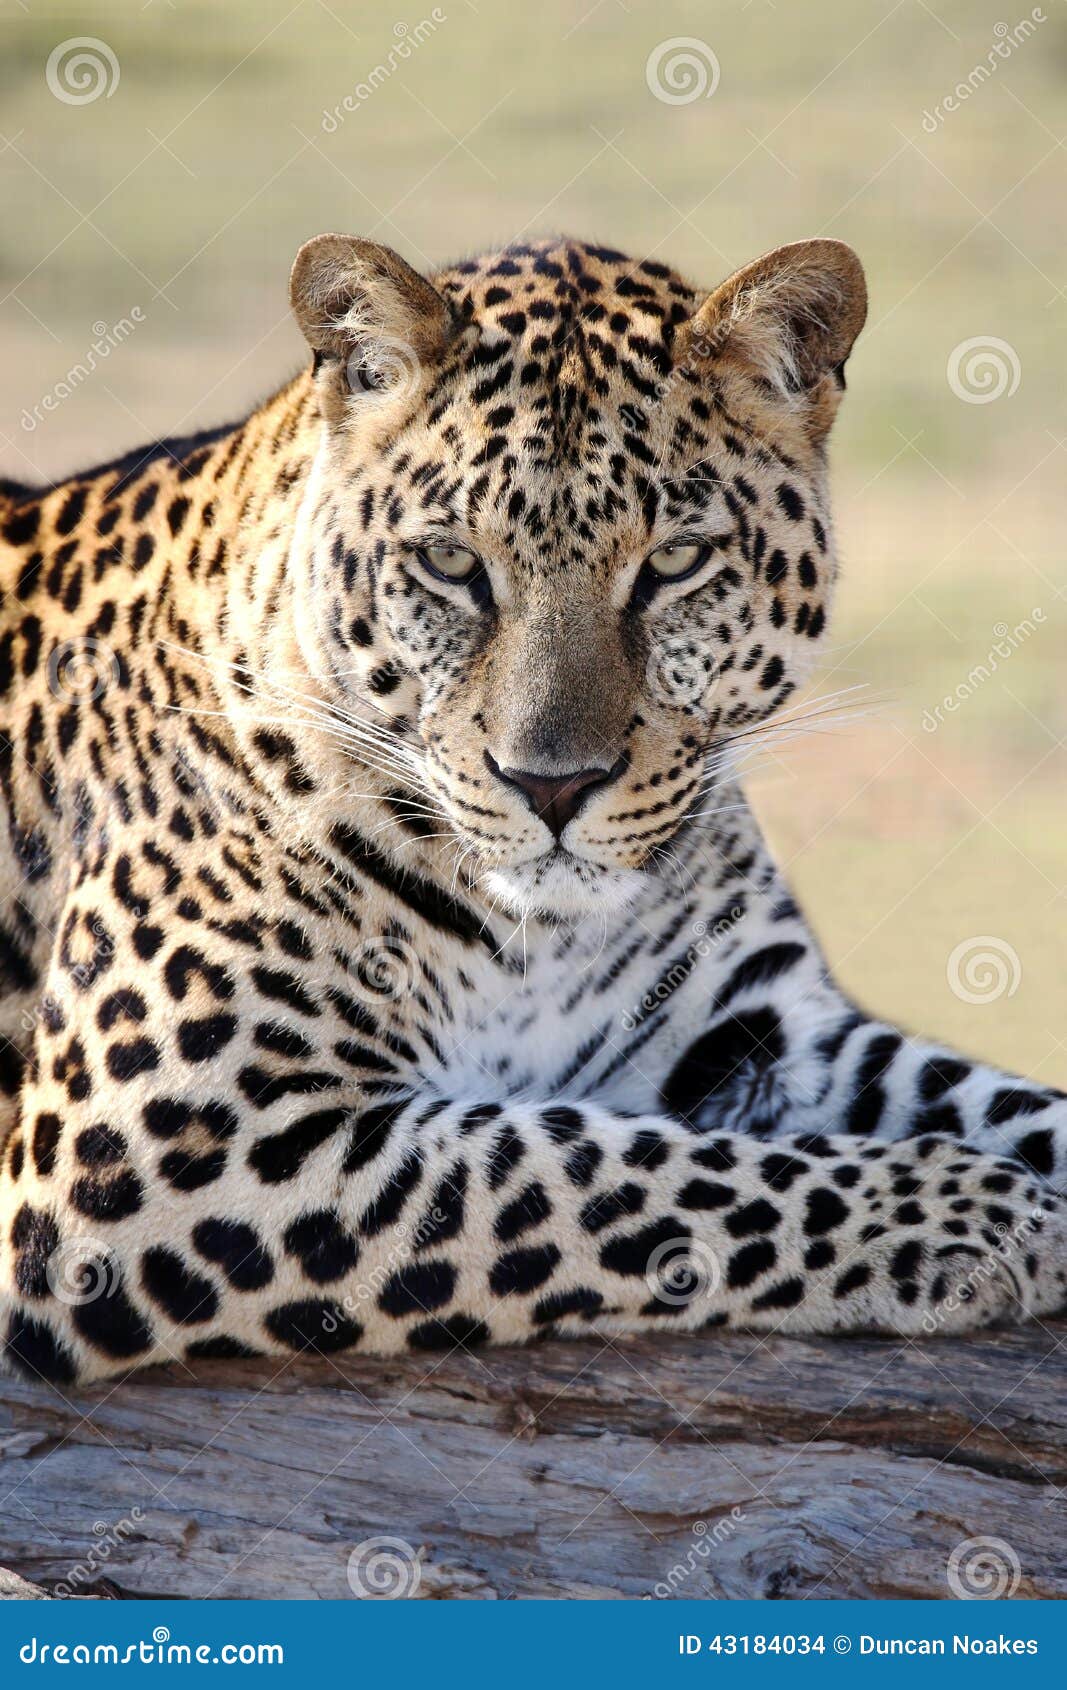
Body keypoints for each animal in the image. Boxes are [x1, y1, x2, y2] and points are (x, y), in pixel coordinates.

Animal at [1, 232, 1065, 1388]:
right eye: (449, 562)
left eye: (674, 562)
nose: (551, 783)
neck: (536, 933)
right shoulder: (163, 1150)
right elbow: (606, 1167)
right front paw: (990, 1214)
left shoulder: (761, 1030)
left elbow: (994, 1099)